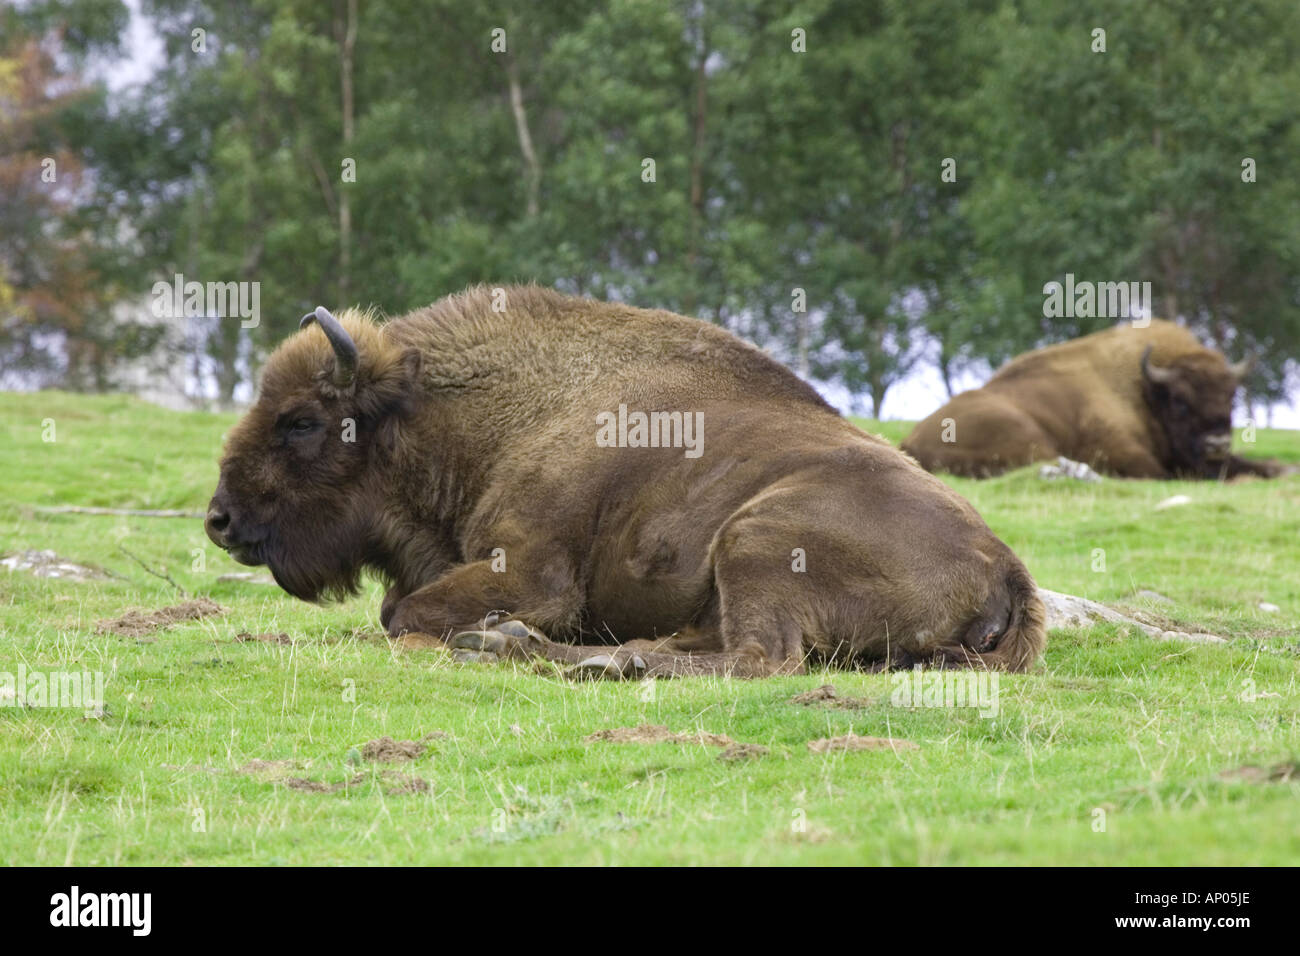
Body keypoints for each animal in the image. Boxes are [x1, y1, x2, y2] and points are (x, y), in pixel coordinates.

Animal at [206, 286, 1045, 676]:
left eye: (301, 422)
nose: (219, 520)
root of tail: (1007, 564)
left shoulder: (532, 572)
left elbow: (402, 613)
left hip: (757, 536)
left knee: (758, 658)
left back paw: (549, 650)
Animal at [902, 320, 1285, 480]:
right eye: (1180, 400)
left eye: (1232, 395)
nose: (1215, 442)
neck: (1142, 392)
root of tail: (910, 442)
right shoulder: (1130, 455)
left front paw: (1279, 468)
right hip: (1027, 435)